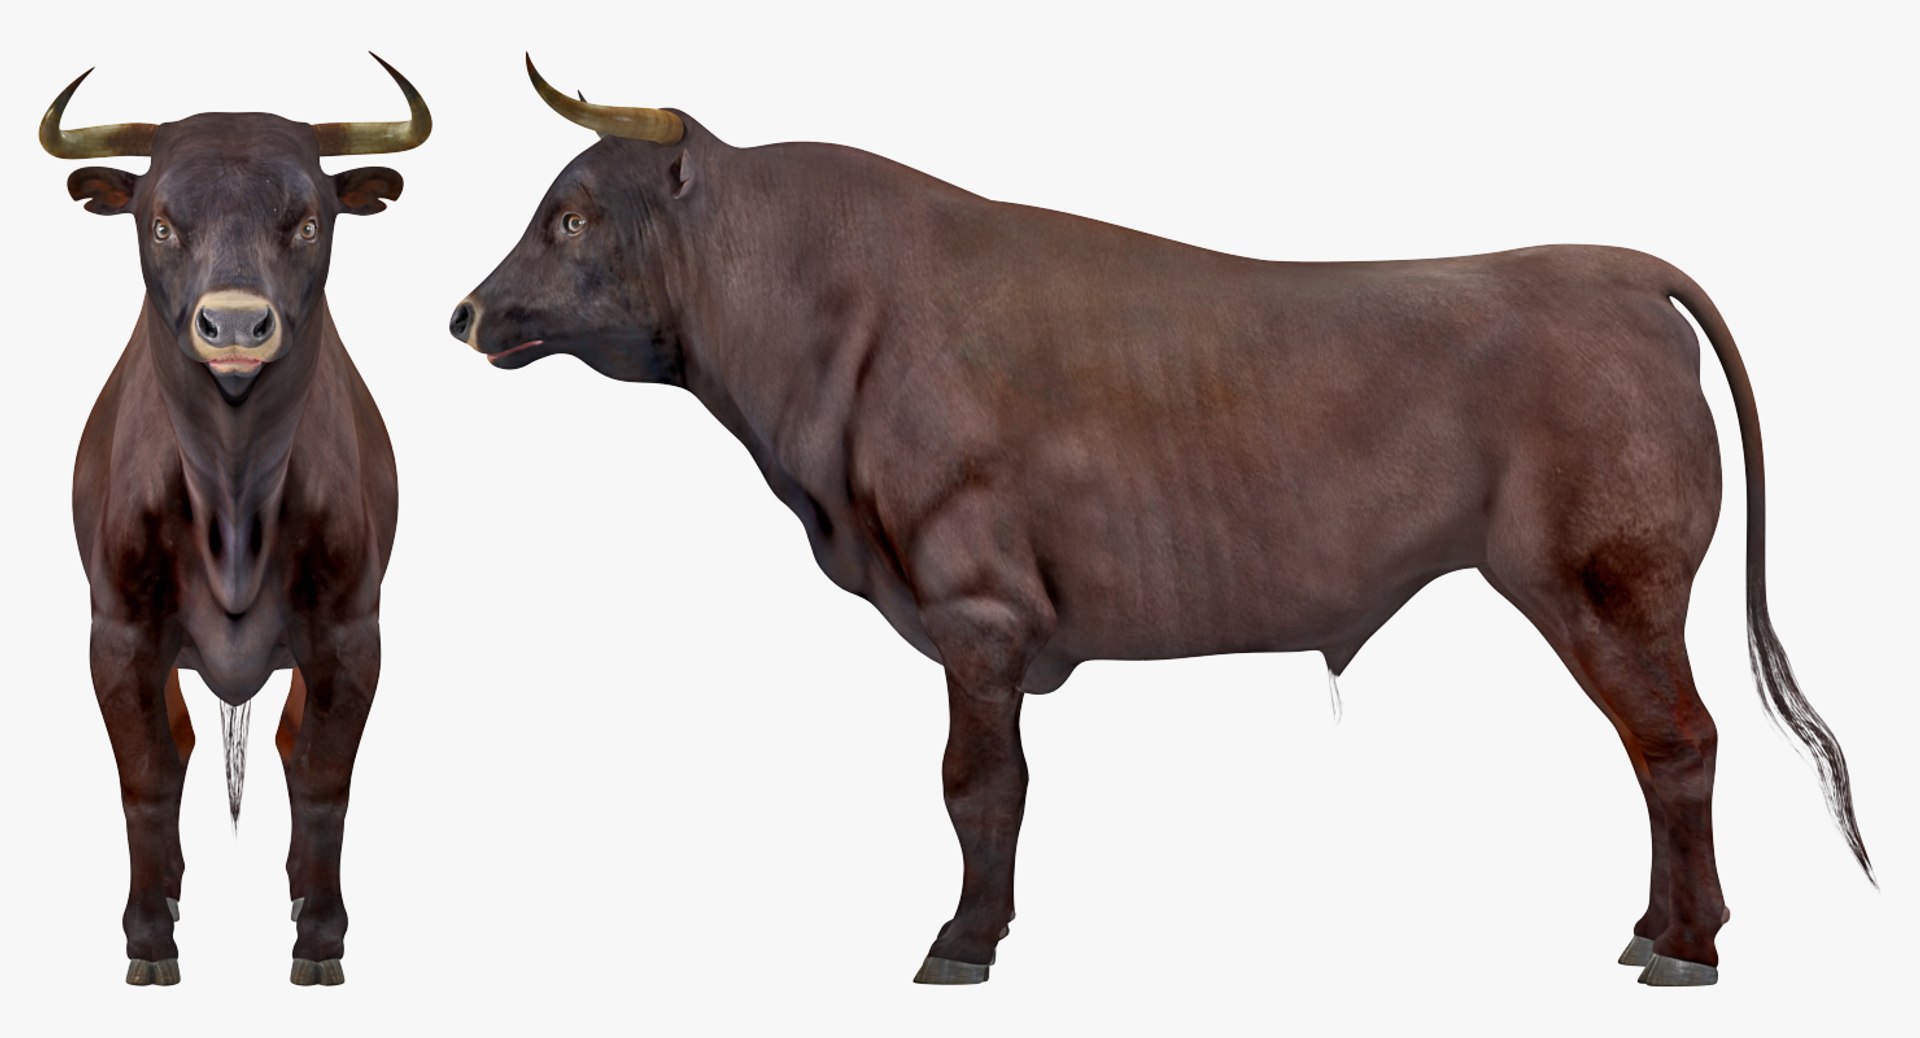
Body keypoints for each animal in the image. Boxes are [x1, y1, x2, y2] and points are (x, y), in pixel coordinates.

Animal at [46, 54, 428, 987]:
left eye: (309, 221)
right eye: (159, 223)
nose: (235, 325)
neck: (234, 496)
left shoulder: (351, 634)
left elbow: (323, 779)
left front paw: (320, 937)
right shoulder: (118, 634)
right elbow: (147, 778)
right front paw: (149, 938)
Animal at [449, 57, 1872, 987]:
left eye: (572, 211)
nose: (466, 313)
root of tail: (1611, 268)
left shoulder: (977, 611)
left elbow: (976, 785)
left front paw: (962, 944)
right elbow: (998, 788)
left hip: (1610, 586)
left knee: (1678, 744)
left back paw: (1684, 948)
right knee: (1660, 749)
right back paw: (1658, 930)